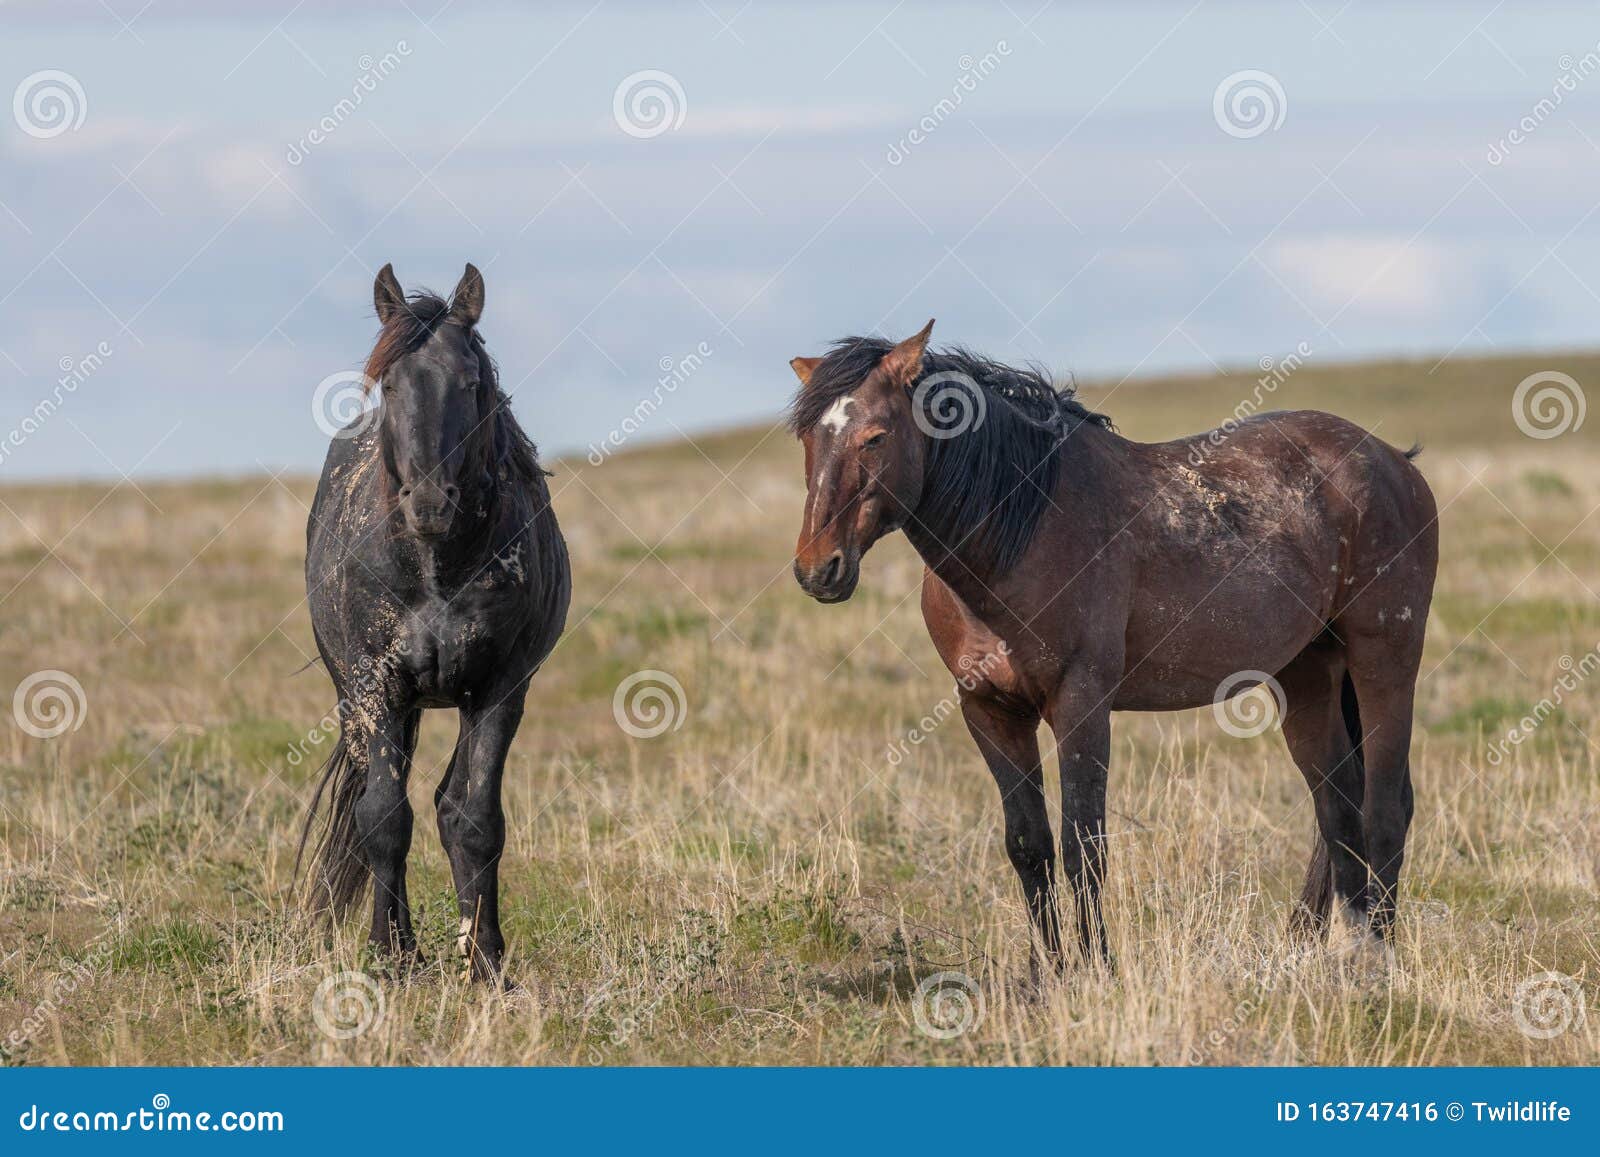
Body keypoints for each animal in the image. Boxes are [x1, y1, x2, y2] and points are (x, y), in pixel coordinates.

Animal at [297, 263, 570, 984]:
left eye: (470, 382)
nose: (428, 502)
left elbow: (475, 820)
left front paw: (487, 961)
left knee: (451, 806)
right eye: (390, 382)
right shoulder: (378, 688)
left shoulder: (500, 688)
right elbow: (384, 819)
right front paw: (391, 954)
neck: (435, 567)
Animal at [787, 321, 1437, 973]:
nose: (819, 569)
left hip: (1384, 661)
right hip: (1307, 673)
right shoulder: (990, 710)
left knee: (1385, 807)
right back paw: (1326, 946)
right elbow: (1029, 844)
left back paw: (1377, 955)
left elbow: (1084, 844)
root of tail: (1392, 462)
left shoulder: (1081, 704)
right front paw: (1047, 974)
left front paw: (1099, 968)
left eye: (875, 437)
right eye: (808, 438)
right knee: (1337, 807)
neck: (1022, 532)